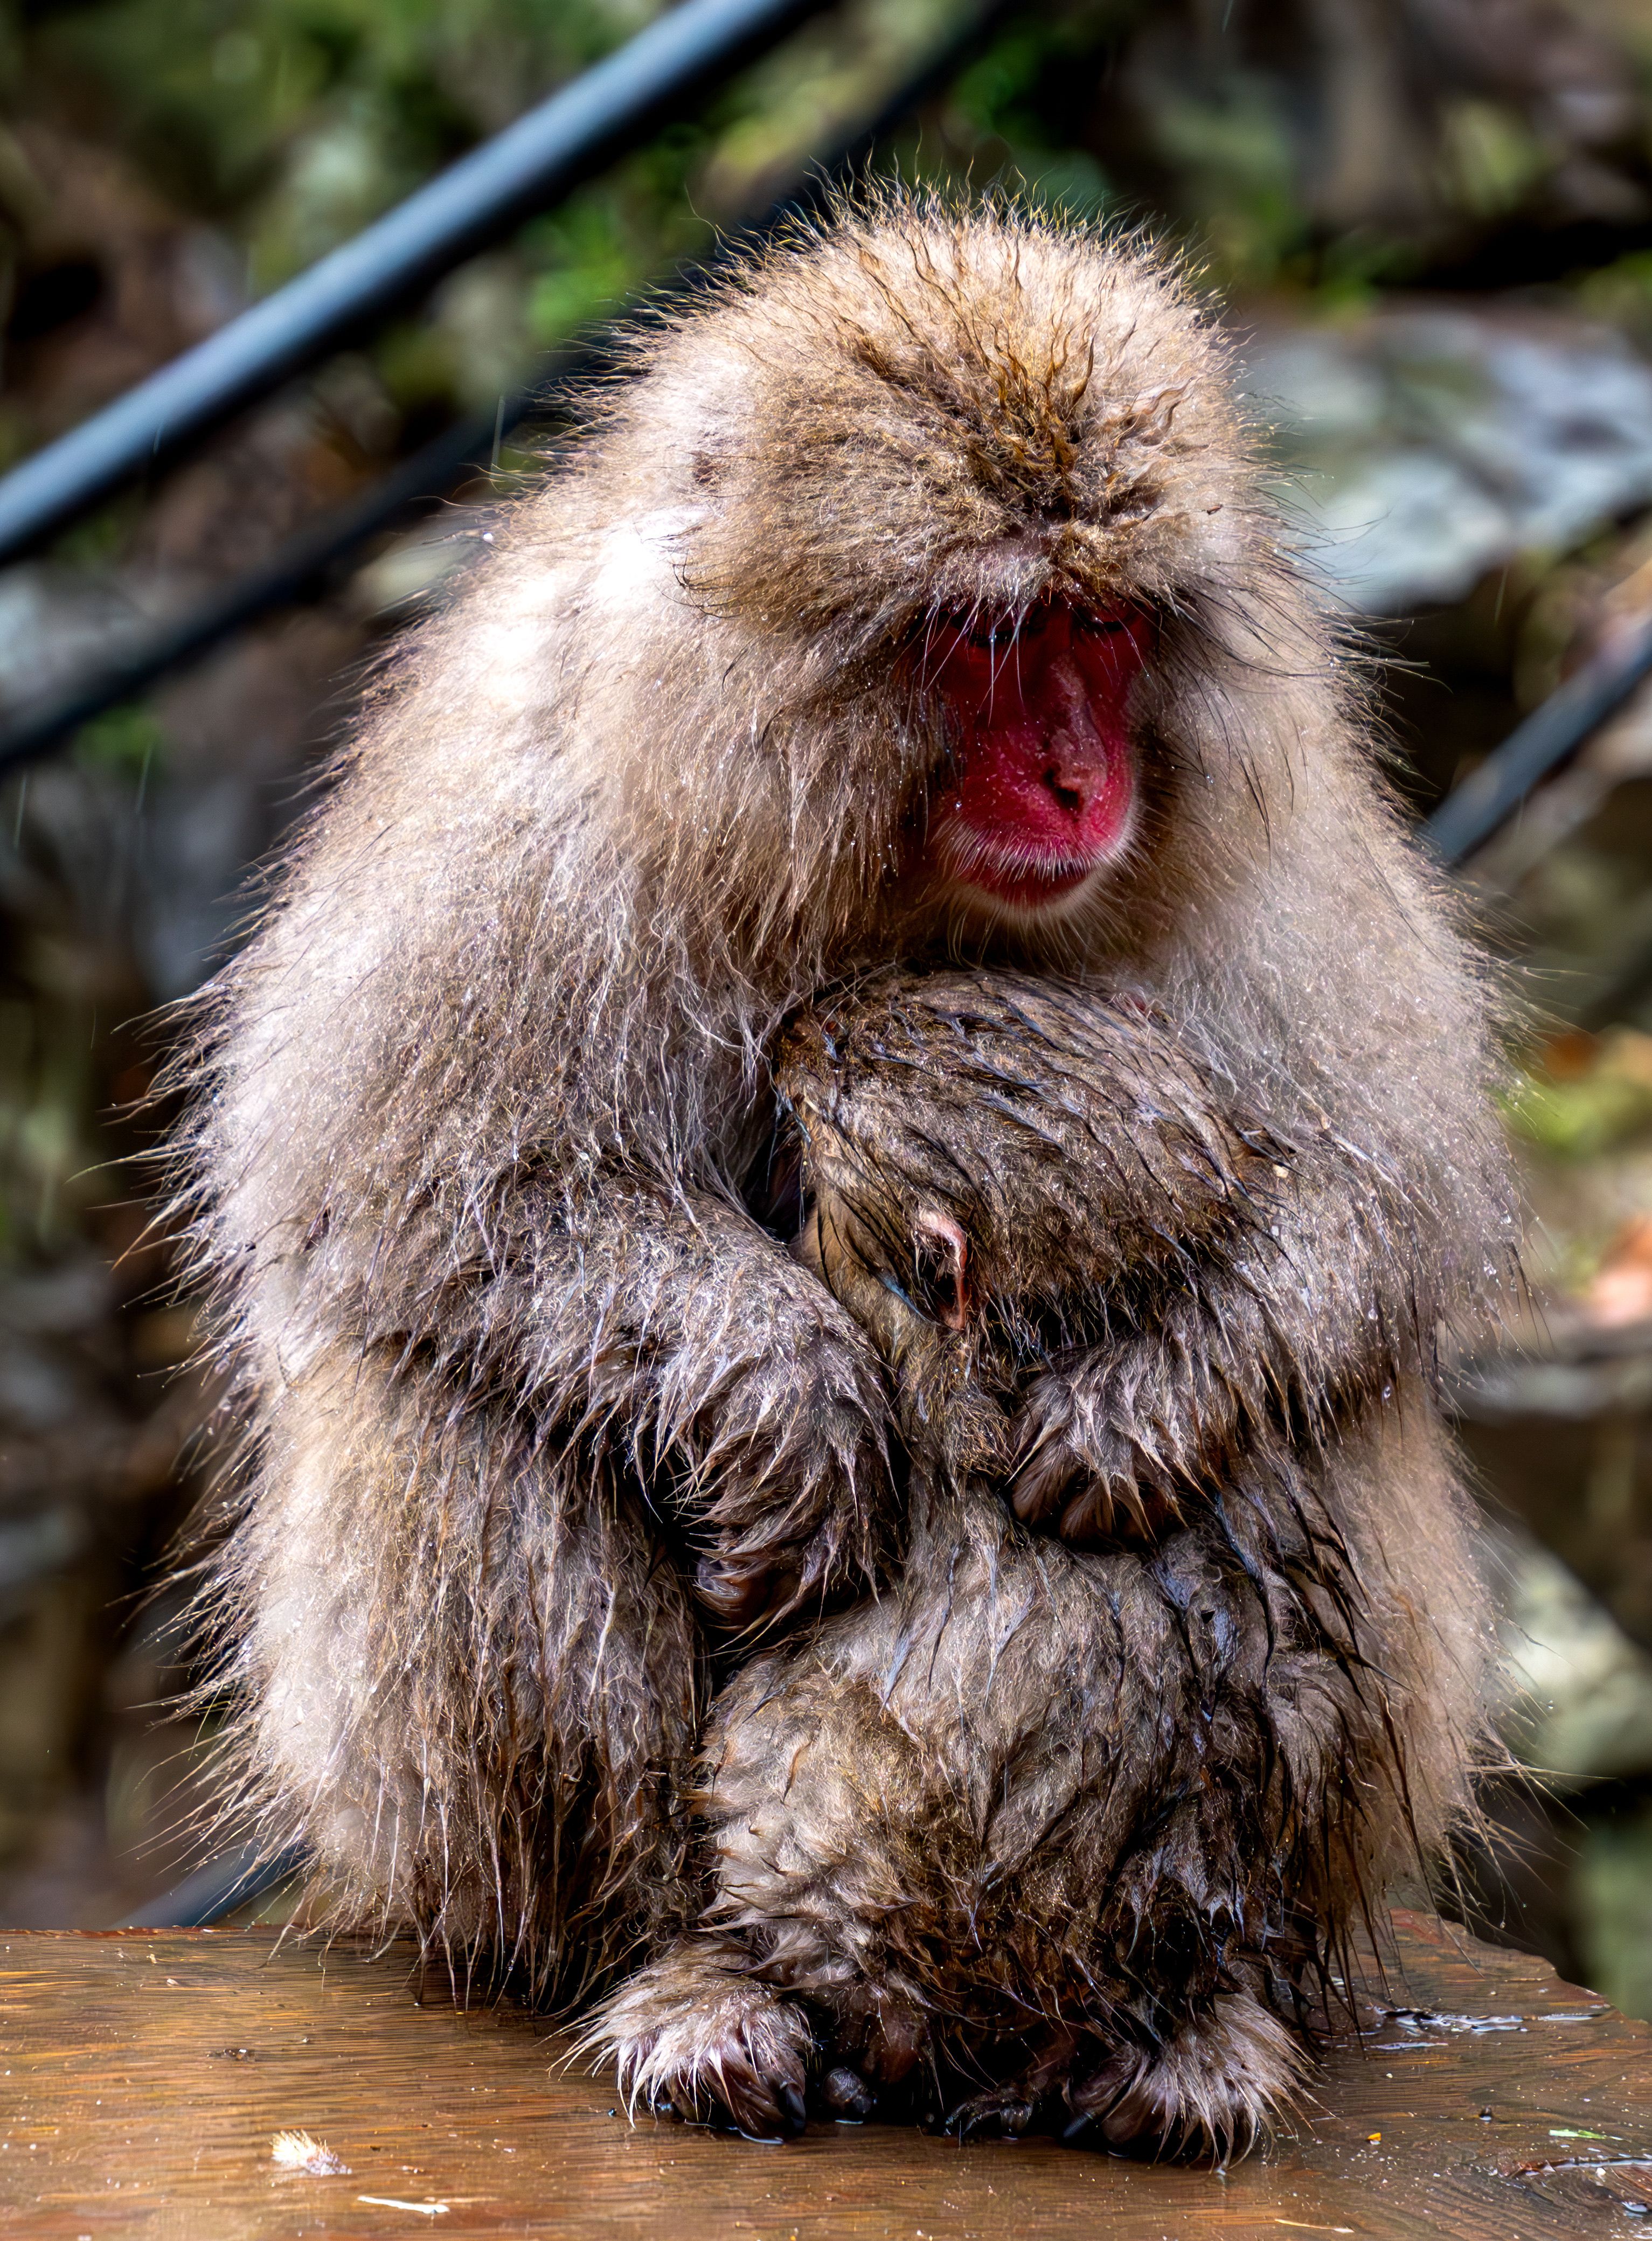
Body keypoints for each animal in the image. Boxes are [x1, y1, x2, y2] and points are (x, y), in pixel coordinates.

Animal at [169, 189, 1516, 2027]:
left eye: (1102, 627)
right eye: (986, 637)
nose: (1081, 783)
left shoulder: (1268, 816)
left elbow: (1387, 1190)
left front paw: (1152, 1396)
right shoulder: (528, 804)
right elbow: (398, 1189)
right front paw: (785, 1388)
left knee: (1331, 1420)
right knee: (443, 1402)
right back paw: (680, 1971)